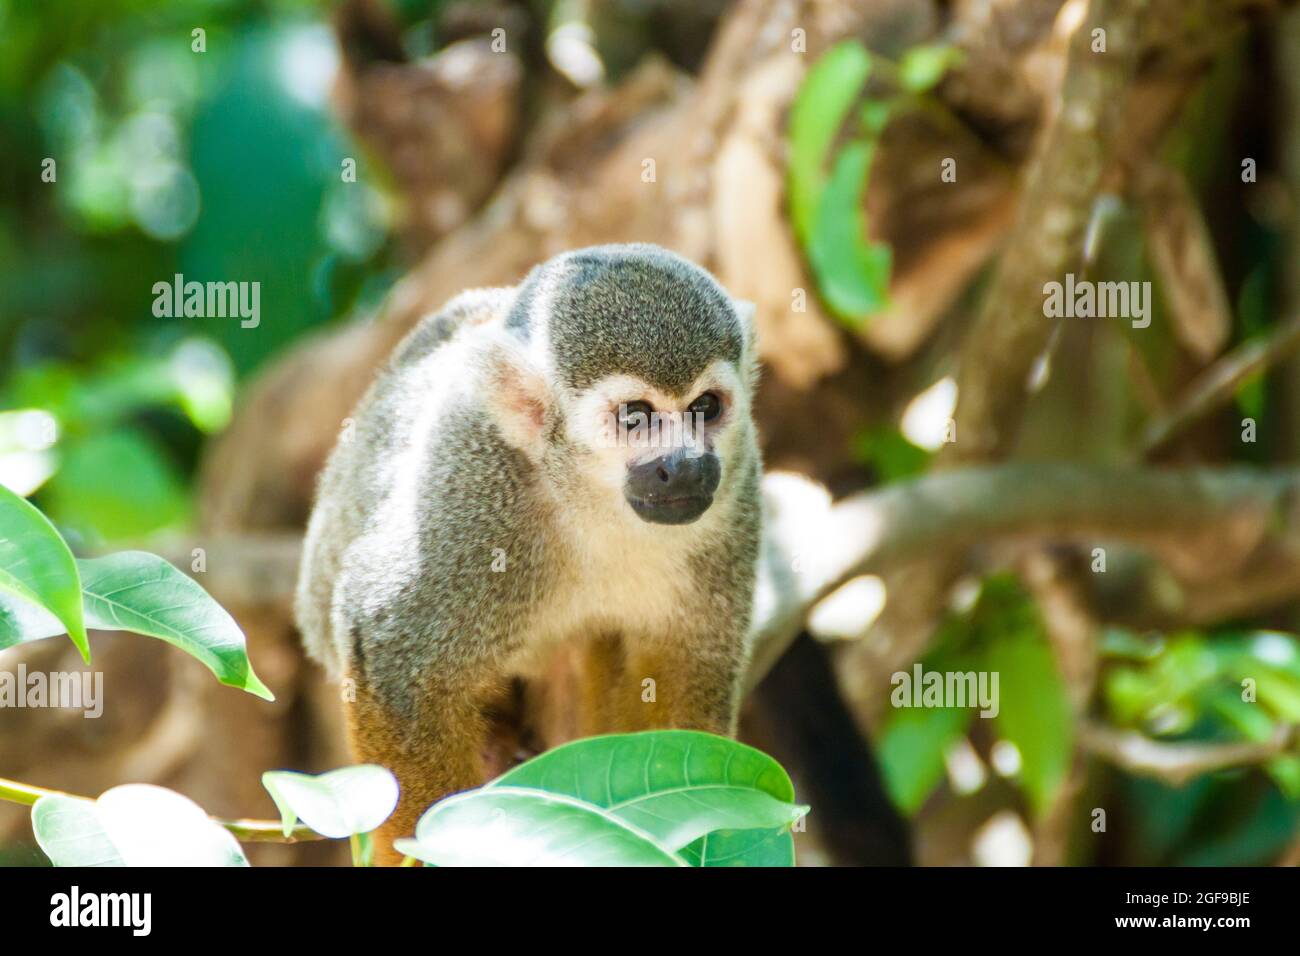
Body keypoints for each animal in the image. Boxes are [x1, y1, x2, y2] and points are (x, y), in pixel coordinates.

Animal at [295, 243, 763, 863]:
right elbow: (391, 656)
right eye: (636, 416)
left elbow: (685, 673)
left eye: (706, 407)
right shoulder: (468, 490)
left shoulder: (737, 491)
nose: (685, 466)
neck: (588, 500)